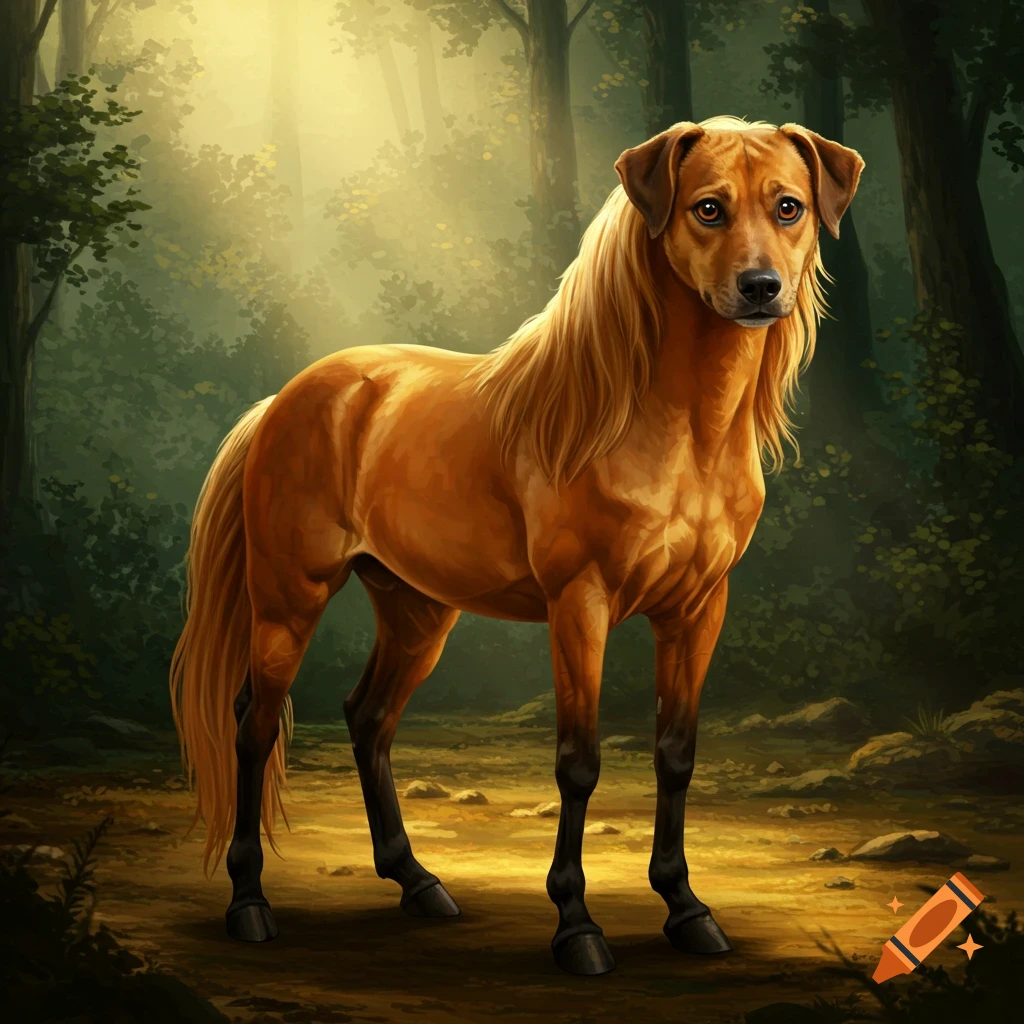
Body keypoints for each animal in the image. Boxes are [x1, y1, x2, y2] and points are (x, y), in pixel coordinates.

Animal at [170, 115, 864, 976]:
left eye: (789, 206)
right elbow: (579, 762)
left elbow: (676, 754)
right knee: (254, 726)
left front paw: (687, 911)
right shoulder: (580, 605)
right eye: (708, 207)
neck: (667, 431)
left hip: (416, 611)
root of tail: (283, 400)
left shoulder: (699, 608)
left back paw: (419, 884)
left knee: (369, 718)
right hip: (288, 602)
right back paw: (249, 904)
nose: (761, 289)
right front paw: (577, 927)